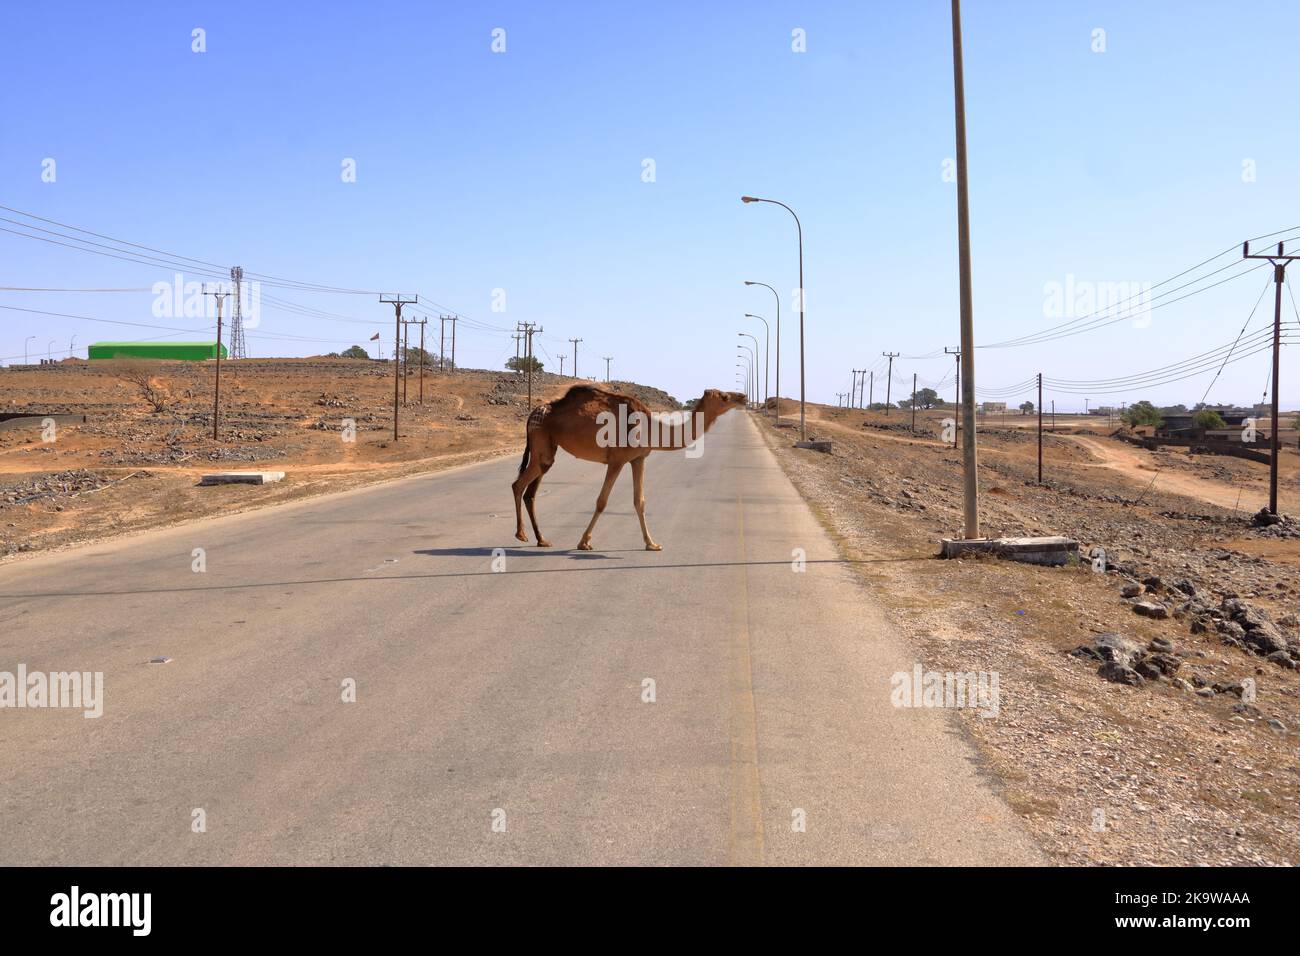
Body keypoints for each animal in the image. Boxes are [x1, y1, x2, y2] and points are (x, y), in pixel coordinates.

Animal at [511, 385, 747, 551]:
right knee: (518, 484)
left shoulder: (638, 459)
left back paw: (542, 539)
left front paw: (652, 543)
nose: (743, 397)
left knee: (531, 492)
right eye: (724, 396)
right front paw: (584, 542)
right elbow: (602, 501)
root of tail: (533, 413)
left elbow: (639, 501)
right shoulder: (617, 460)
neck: (652, 428)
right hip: (541, 441)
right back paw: (521, 535)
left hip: (546, 449)